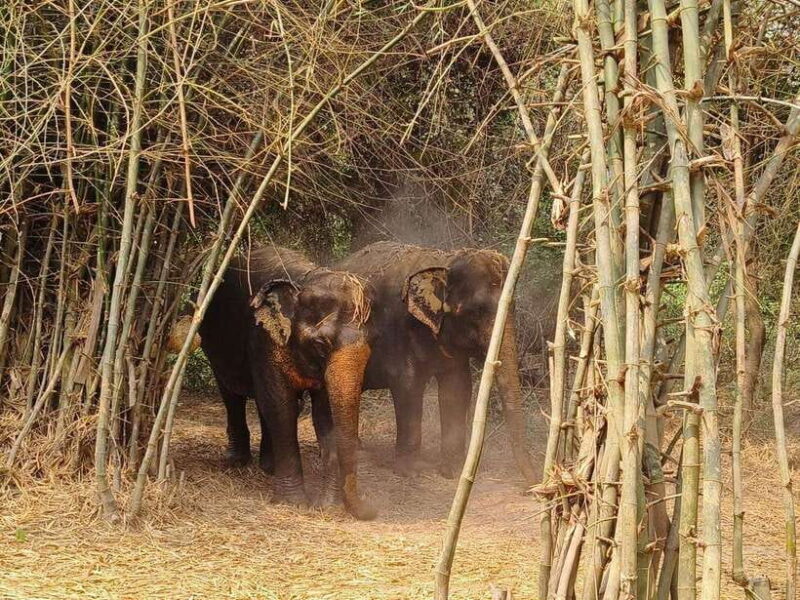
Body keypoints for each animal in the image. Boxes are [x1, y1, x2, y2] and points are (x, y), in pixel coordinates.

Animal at [195, 246, 376, 520]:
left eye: (369, 347)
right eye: (321, 345)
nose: (371, 508)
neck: (305, 281)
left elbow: (324, 414)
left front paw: (328, 507)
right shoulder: (262, 338)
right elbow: (281, 405)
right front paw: (294, 504)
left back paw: (268, 467)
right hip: (212, 339)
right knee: (232, 393)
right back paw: (237, 461)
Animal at [328, 241, 536, 485]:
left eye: (512, 308)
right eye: (476, 311)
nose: (532, 485)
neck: (444, 262)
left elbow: (457, 388)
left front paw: (452, 471)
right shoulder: (398, 330)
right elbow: (408, 386)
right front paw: (409, 473)